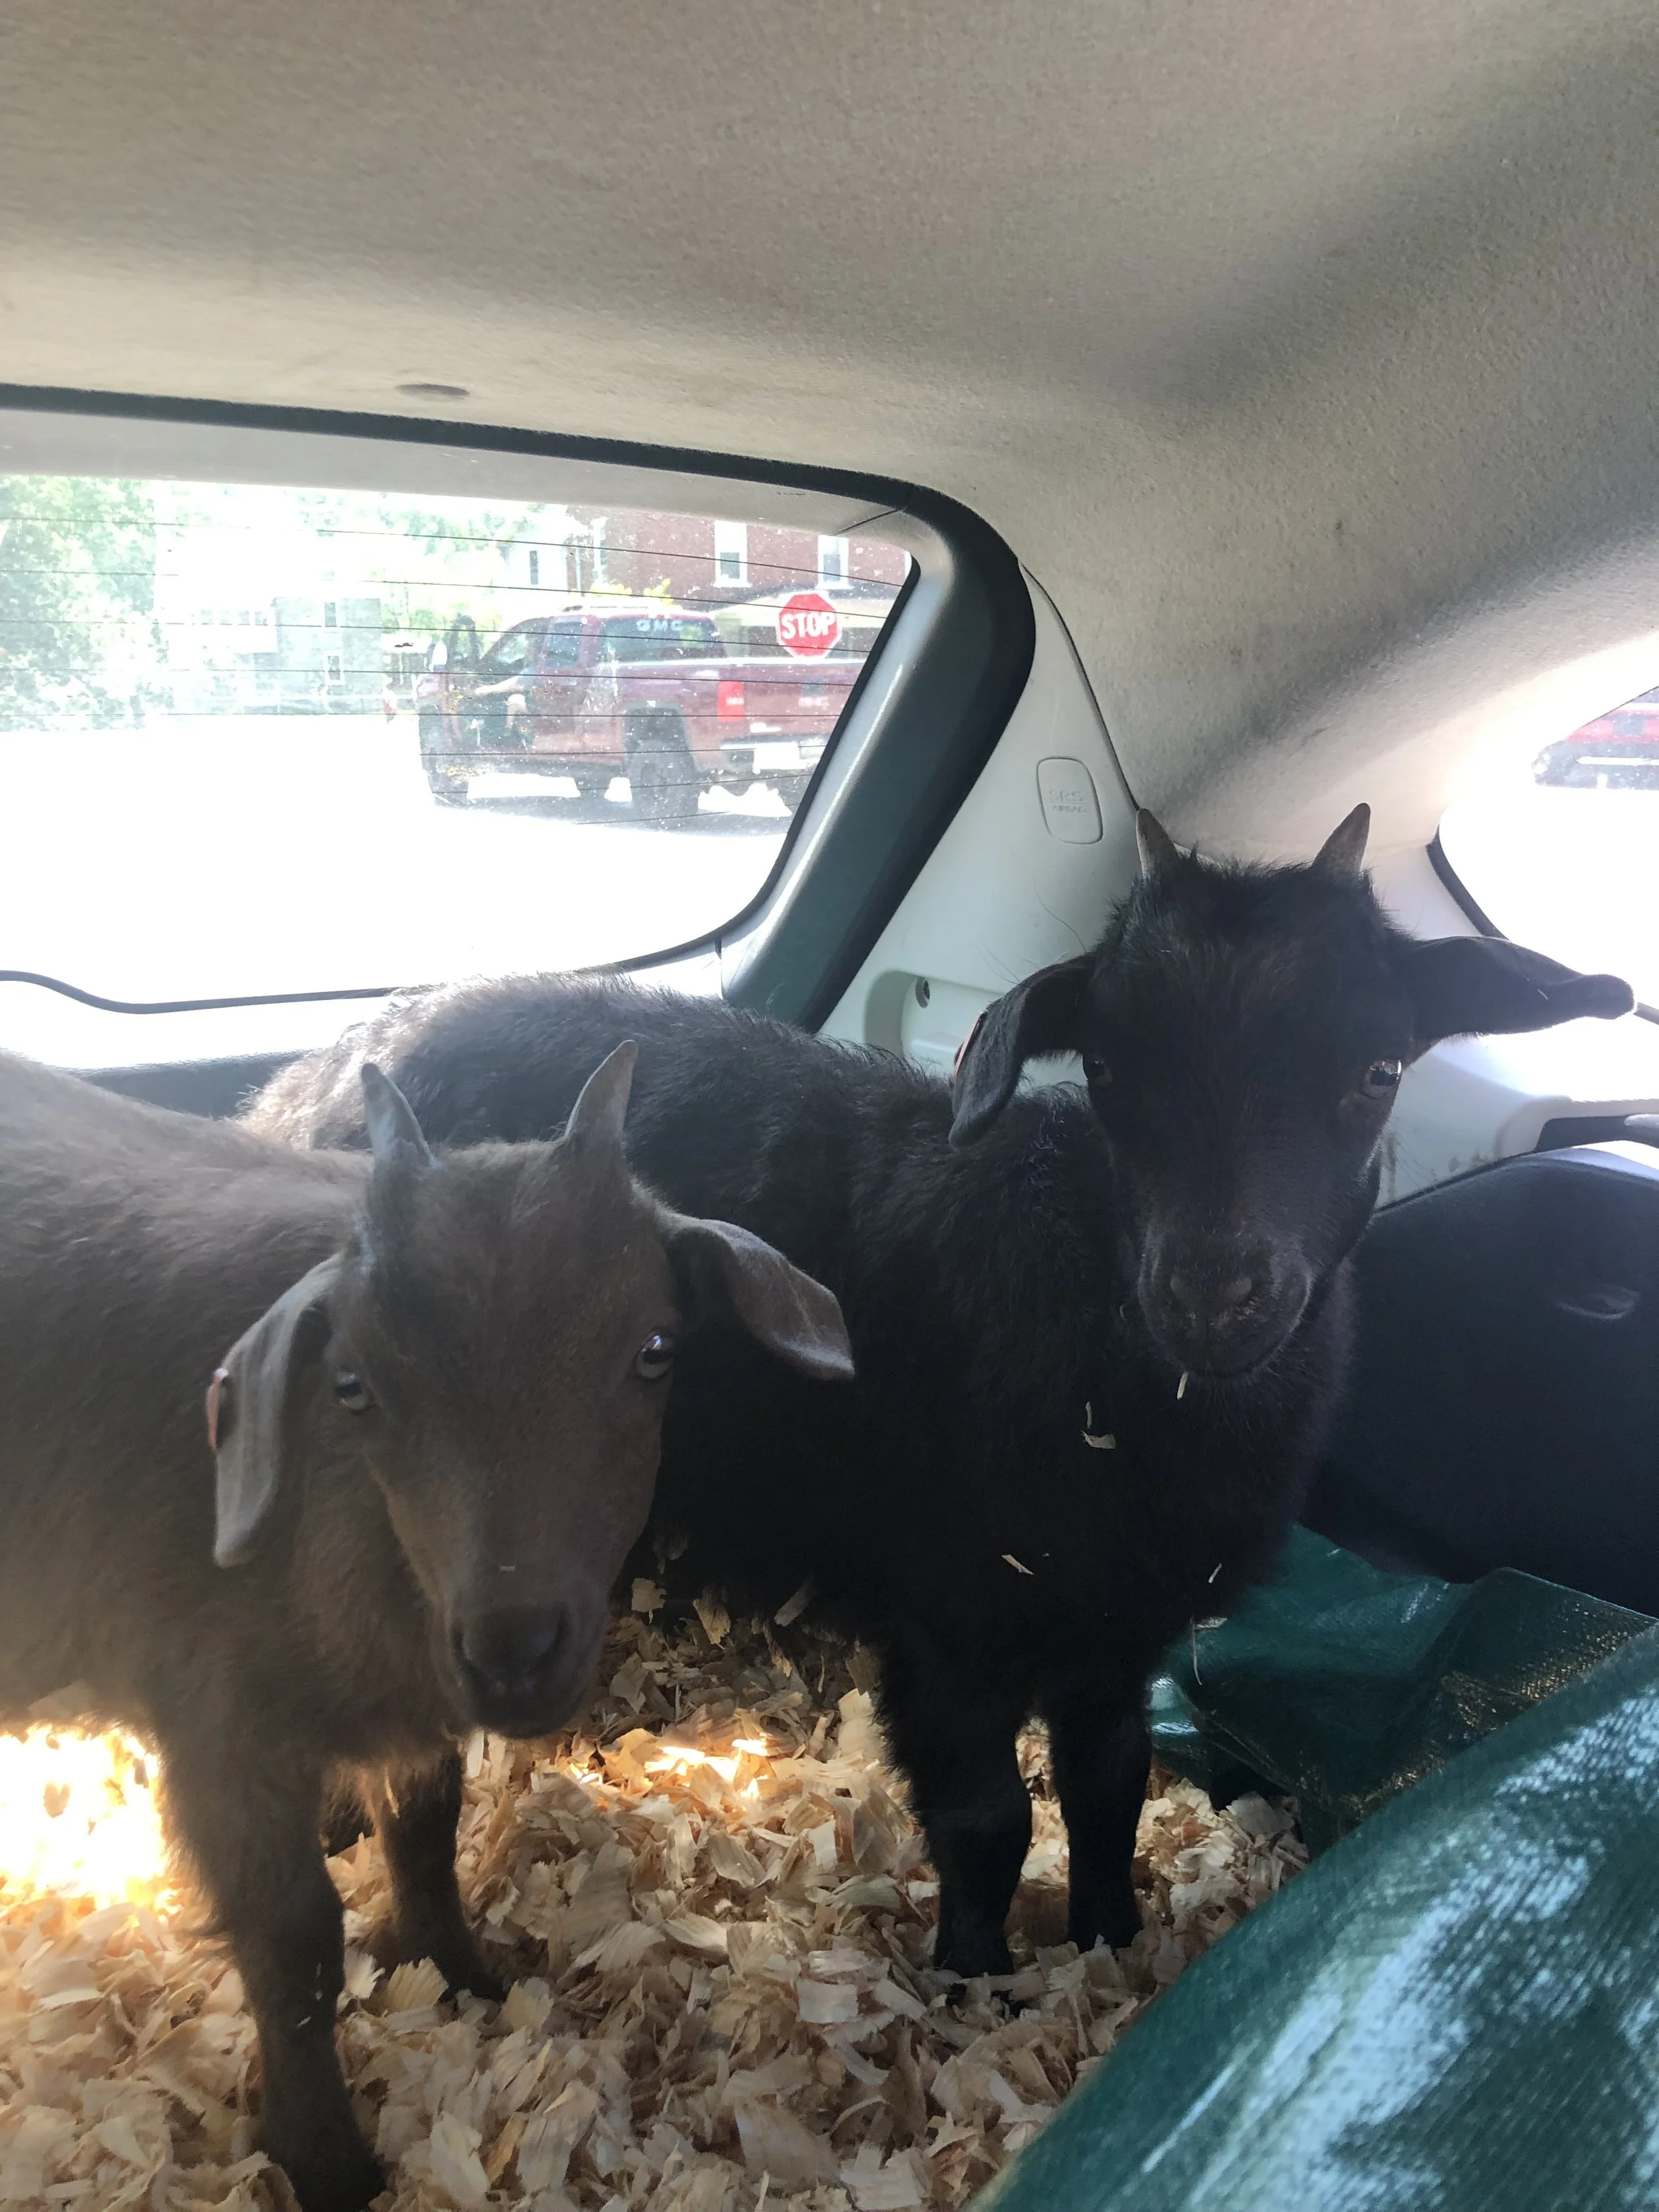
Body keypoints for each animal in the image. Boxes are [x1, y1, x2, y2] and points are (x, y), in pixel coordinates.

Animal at [0, 1043, 851, 2212]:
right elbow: (295, 1945)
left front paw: (462, 1979)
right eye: (352, 1383)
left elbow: (427, 1834)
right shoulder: (218, 1732)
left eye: (655, 1349)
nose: (513, 1651)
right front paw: (326, 2161)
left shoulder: (414, 1717)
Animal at [245, 805, 1633, 1980]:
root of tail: (303, 1082)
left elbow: (1109, 1783)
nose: (1214, 1290)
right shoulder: (948, 1617)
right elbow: (989, 1816)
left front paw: (1107, 1944)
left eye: (1379, 1070)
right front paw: (975, 1971)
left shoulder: (1115, 1631)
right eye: (1112, 1072)